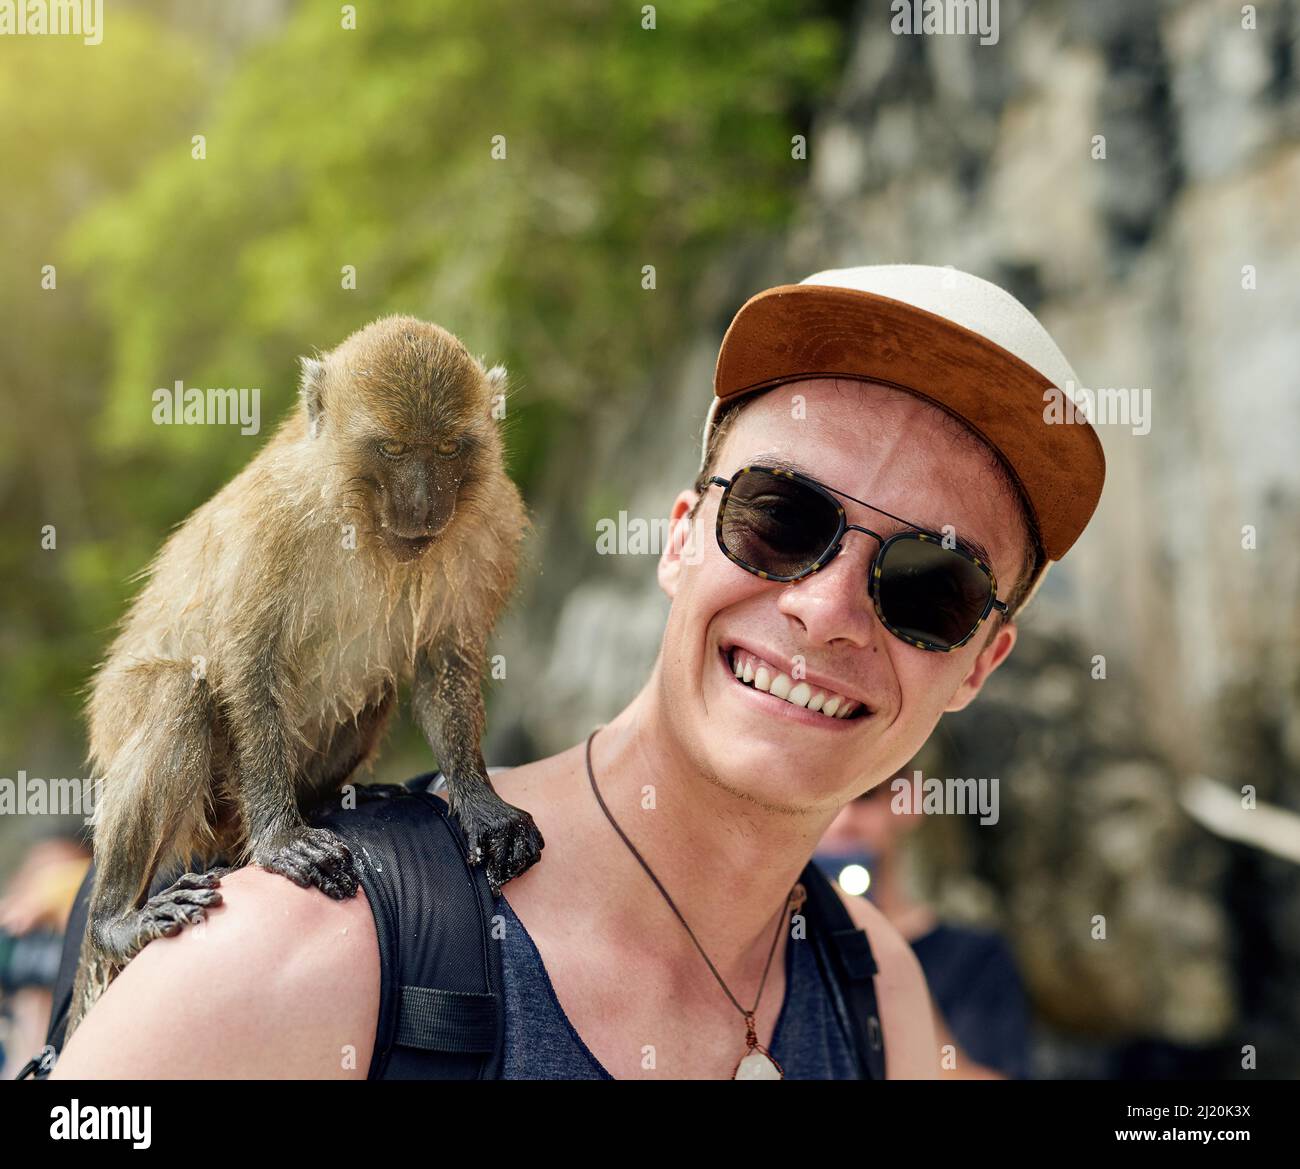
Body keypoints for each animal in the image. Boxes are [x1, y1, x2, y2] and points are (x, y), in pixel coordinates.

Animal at [66, 315, 542, 1037]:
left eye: (448, 447)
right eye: (393, 448)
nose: (424, 506)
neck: (360, 521)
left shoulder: (488, 521)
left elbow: (445, 663)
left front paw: (477, 798)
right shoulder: (274, 525)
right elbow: (247, 661)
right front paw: (280, 837)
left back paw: (329, 797)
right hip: (136, 739)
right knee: (181, 693)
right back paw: (117, 916)